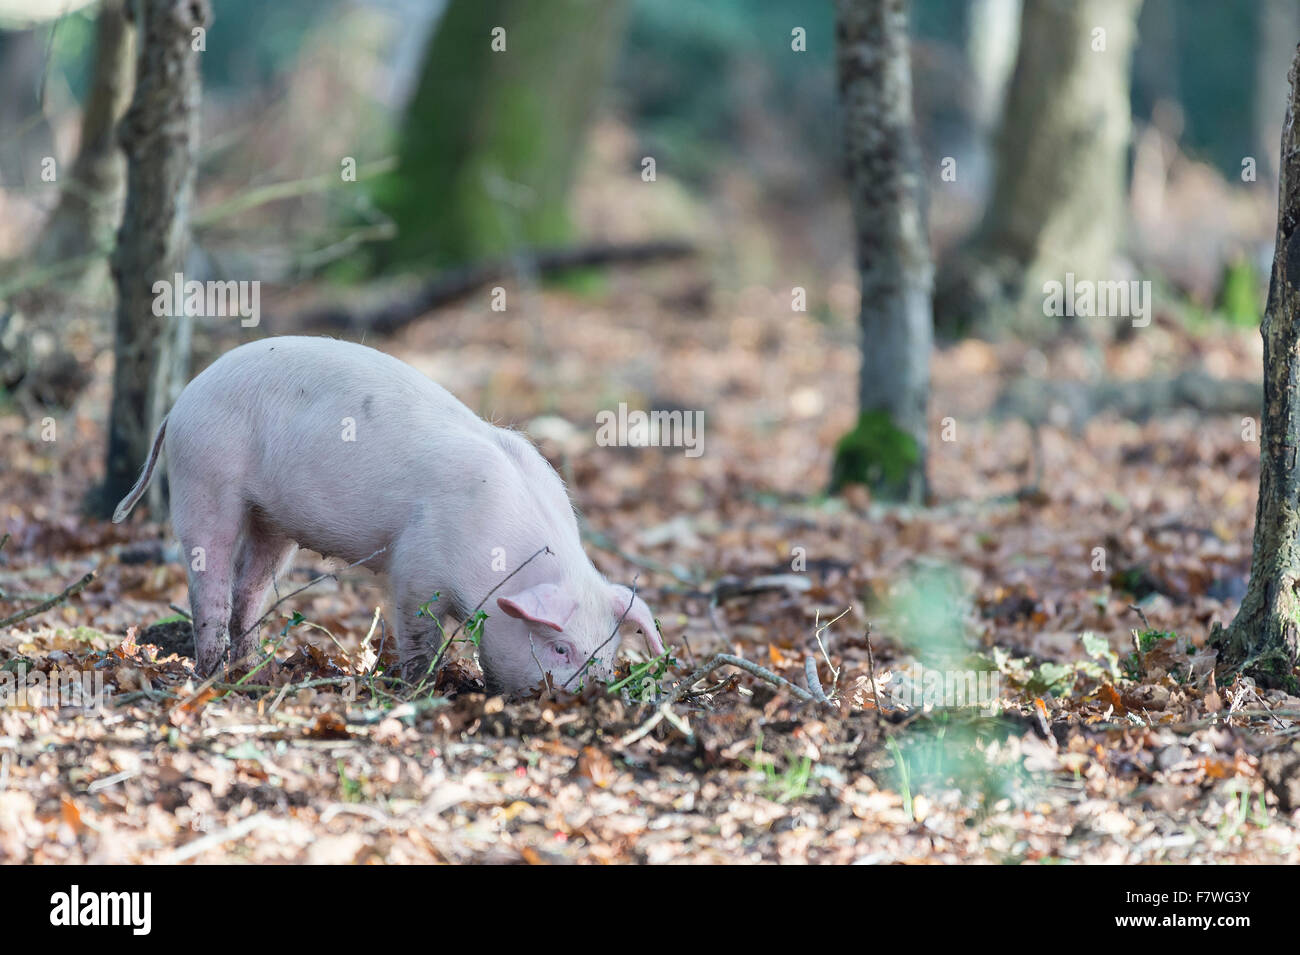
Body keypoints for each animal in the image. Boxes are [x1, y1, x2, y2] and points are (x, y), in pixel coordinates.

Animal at [112, 336, 664, 694]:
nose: (595, 696)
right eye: (560, 649)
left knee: (248, 590)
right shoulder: (417, 569)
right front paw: (417, 688)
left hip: (271, 520)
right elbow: (421, 636)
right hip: (203, 479)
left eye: (610, 651)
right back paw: (214, 676)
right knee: (209, 581)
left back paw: (257, 669)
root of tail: (182, 399)